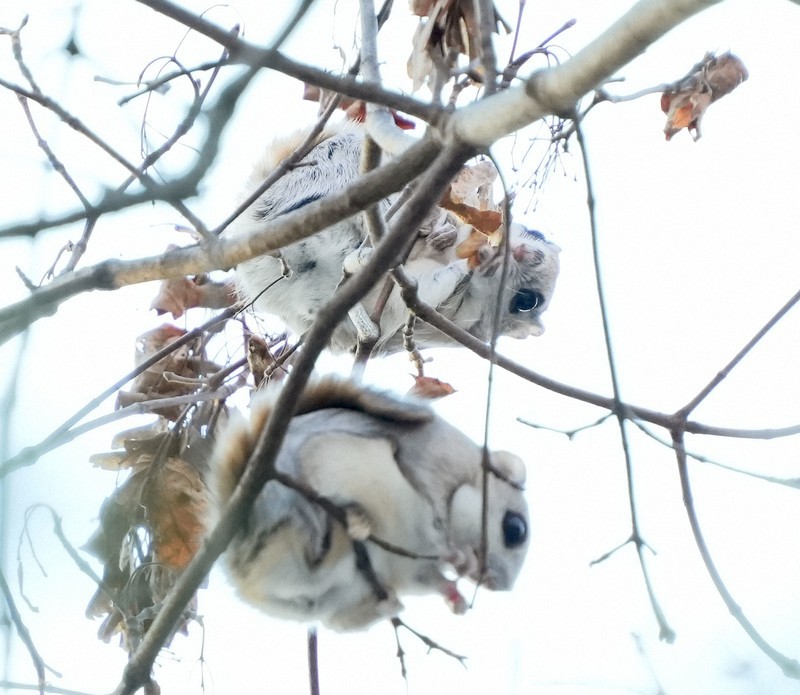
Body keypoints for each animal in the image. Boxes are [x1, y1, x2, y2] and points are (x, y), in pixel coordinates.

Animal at [205, 377, 530, 632]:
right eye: (515, 529)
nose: (498, 584)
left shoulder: (417, 569)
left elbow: (430, 580)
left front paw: (455, 598)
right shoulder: (431, 469)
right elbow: (436, 523)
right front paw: (462, 557)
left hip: (333, 601)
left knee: (338, 614)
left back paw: (386, 601)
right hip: (325, 467)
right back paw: (354, 521)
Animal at [223, 121, 560, 353]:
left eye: (527, 301)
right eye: (536, 233)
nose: (523, 253)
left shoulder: (445, 314)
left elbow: (426, 290)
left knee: (350, 272)